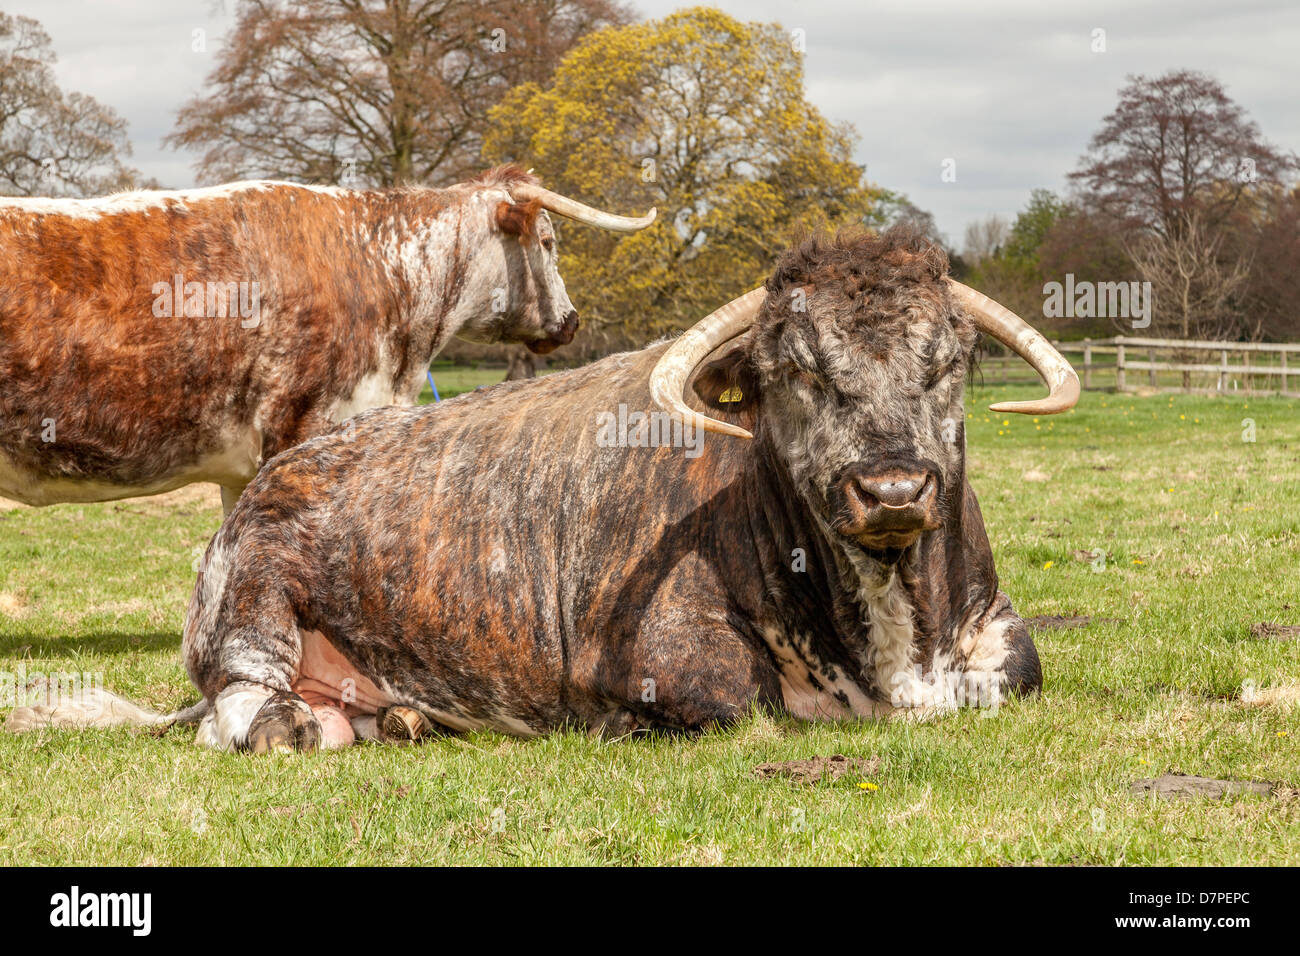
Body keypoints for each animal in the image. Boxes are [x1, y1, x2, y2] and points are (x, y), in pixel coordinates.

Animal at [6, 227, 1080, 748]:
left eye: (946, 363)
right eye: (798, 371)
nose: (893, 488)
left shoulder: (996, 632)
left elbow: (1015, 675)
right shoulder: (662, 650)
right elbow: (740, 699)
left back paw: (401, 717)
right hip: (252, 605)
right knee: (246, 714)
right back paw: (299, 726)